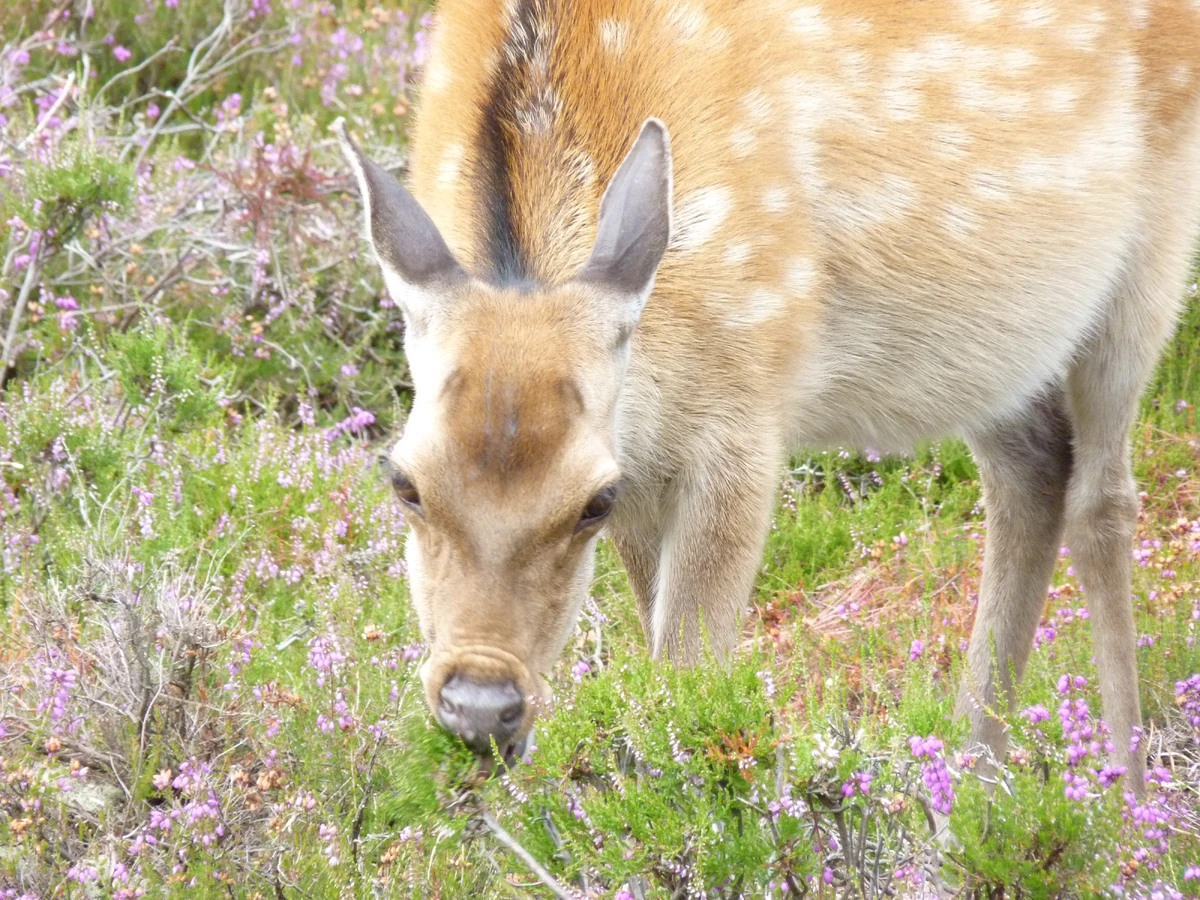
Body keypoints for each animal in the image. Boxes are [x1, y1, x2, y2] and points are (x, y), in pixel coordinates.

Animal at [334, 0, 1200, 789]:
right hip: (1000, 343)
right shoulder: (644, 446)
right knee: (1034, 470)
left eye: (590, 502)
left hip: (1152, 250)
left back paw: (1128, 794)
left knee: (1104, 500)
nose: (481, 705)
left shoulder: (742, 414)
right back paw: (970, 777)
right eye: (403, 480)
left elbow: (689, 672)